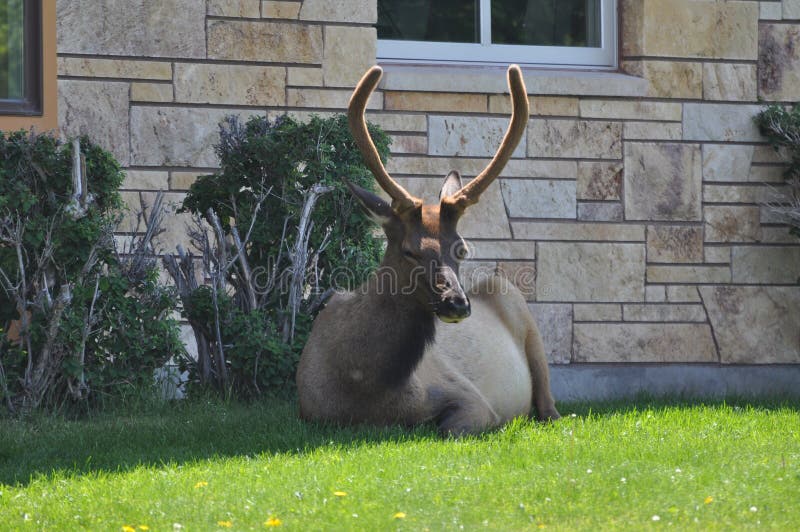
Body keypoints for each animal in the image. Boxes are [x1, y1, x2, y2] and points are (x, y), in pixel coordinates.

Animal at [296, 65, 560, 435]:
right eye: (409, 251)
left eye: (462, 249)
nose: (456, 303)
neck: (360, 384)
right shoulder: (309, 411)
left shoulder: (471, 397)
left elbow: (451, 427)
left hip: (520, 311)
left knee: (550, 407)